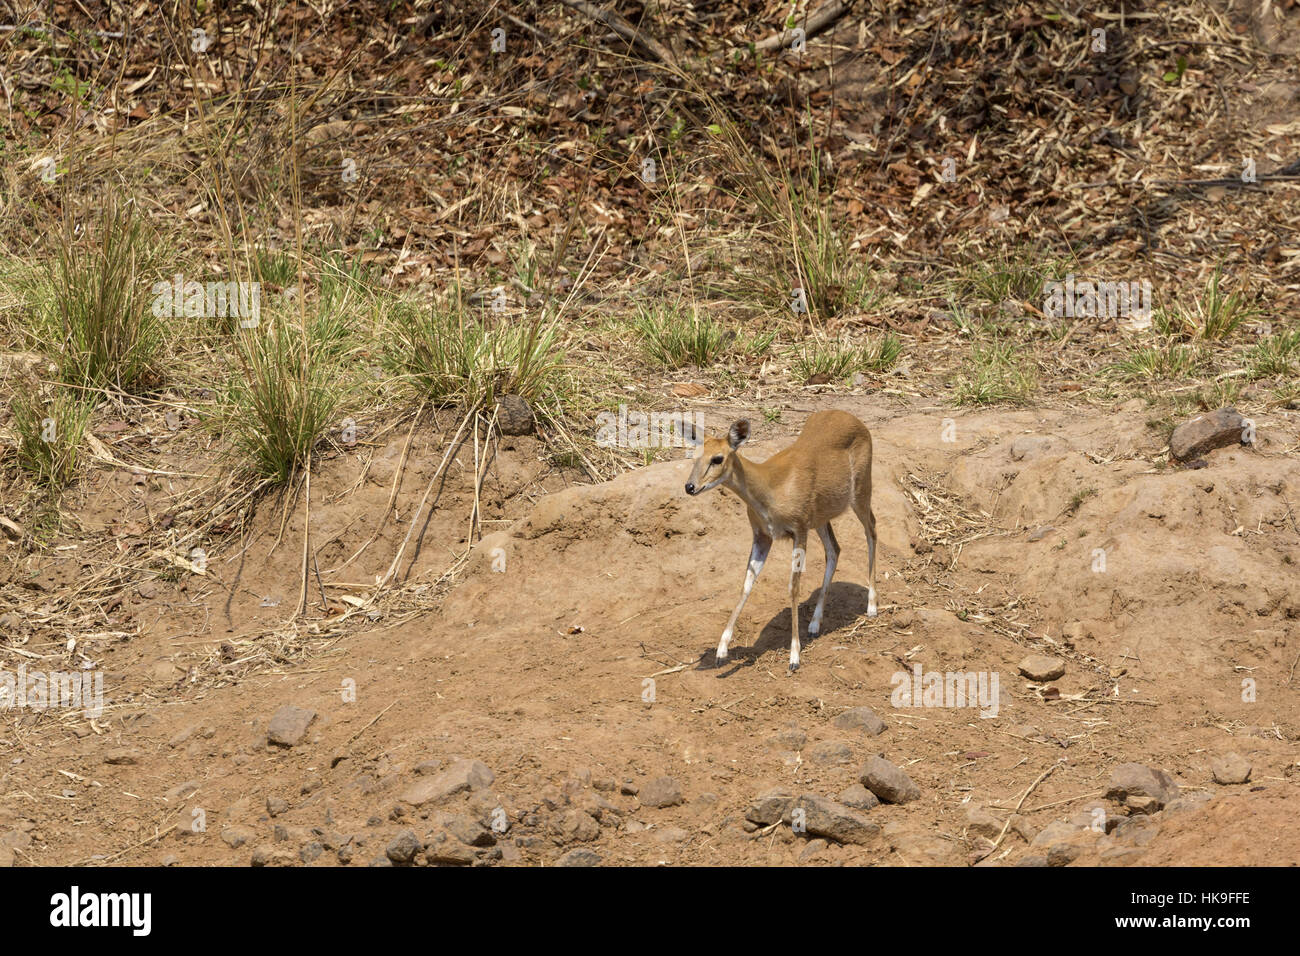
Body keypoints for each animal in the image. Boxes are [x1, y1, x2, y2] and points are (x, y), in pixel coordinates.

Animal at [680, 410, 877, 673]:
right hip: (821, 517)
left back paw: (872, 606)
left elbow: (793, 588)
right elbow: (746, 583)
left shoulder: (799, 530)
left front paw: (794, 657)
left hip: (861, 492)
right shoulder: (762, 536)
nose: (690, 487)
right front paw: (721, 652)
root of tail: (857, 421)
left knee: (872, 530)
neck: (771, 489)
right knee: (834, 549)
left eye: (717, 458)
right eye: (695, 457)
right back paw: (814, 624)